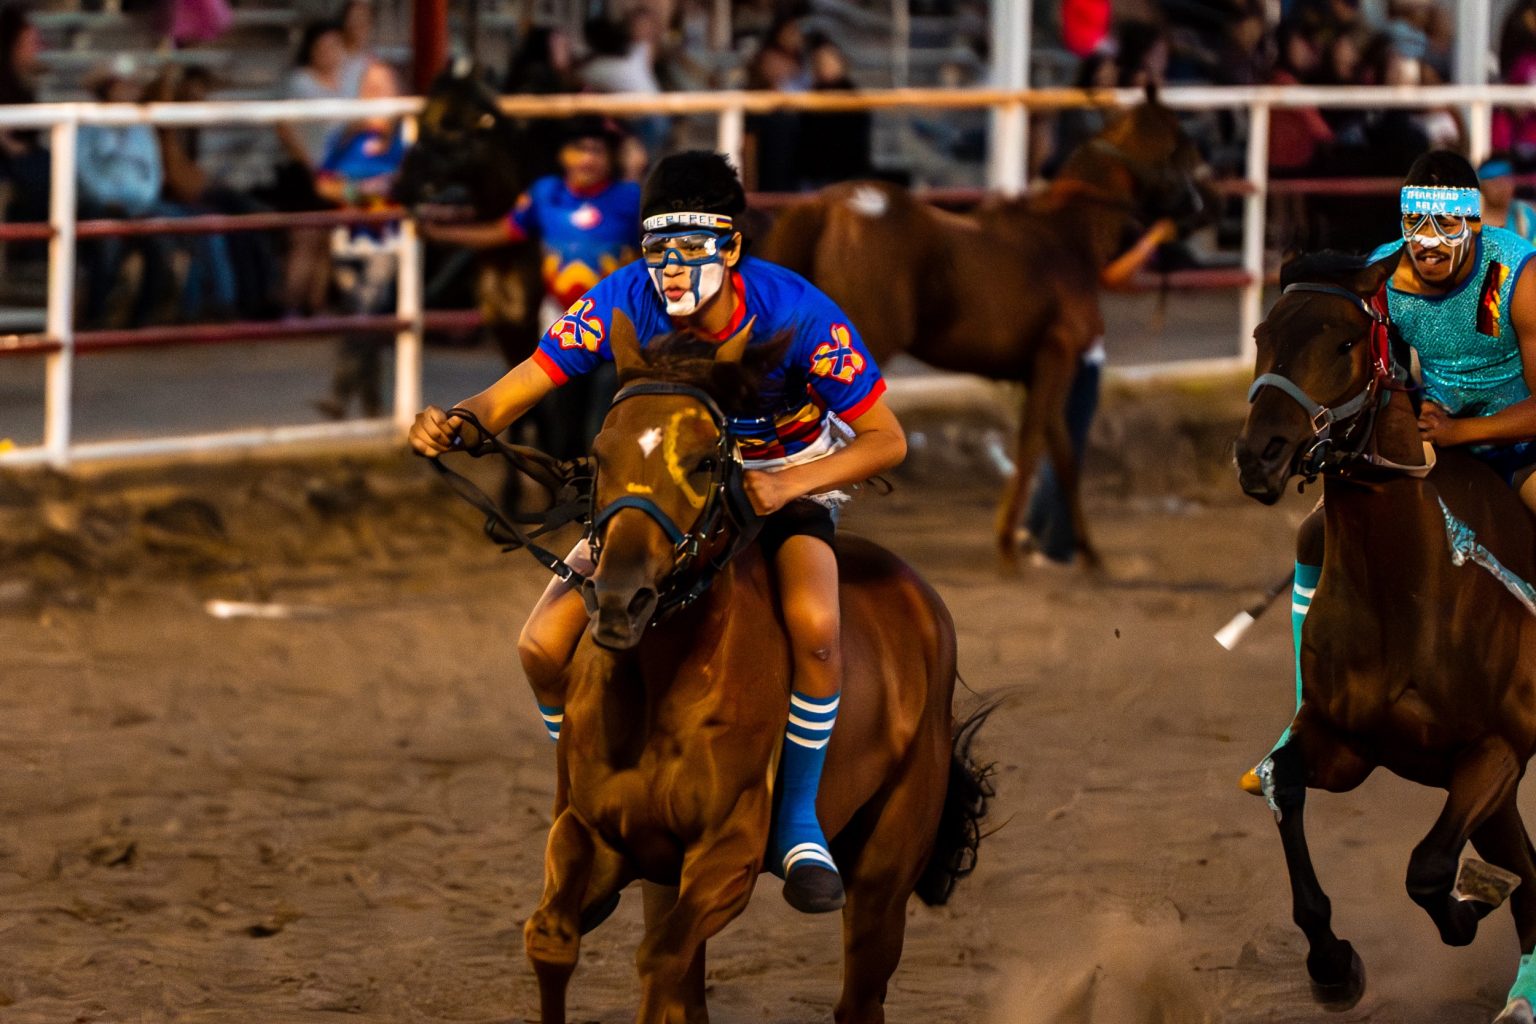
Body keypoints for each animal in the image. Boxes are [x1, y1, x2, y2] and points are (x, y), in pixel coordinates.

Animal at [519, 310, 992, 1024]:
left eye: (705, 461)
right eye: (599, 455)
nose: (620, 600)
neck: (662, 687)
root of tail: (923, 603)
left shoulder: (729, 855)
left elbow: (659, 962)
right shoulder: (595, 835)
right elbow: (553, 939)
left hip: (883, 878)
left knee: (859, 998)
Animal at [760, 93, 1216, 566]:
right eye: (1183, 143)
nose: (1208, 207)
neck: (1066, 238)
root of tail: (826, 206)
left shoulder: (1040, 369)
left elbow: (1061, 452)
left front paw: (1086, 552)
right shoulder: (1057, 355)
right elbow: (1034, 445)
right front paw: (1010, 545)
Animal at [1234, 248, 1536, 1022]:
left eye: (1344, 342)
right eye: (1260, 336)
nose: (1258, 454)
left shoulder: (1497, 750)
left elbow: (1430, 869)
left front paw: (1469, 905)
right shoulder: (1346, 743)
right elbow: (1285, 783)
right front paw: (1332, 964)